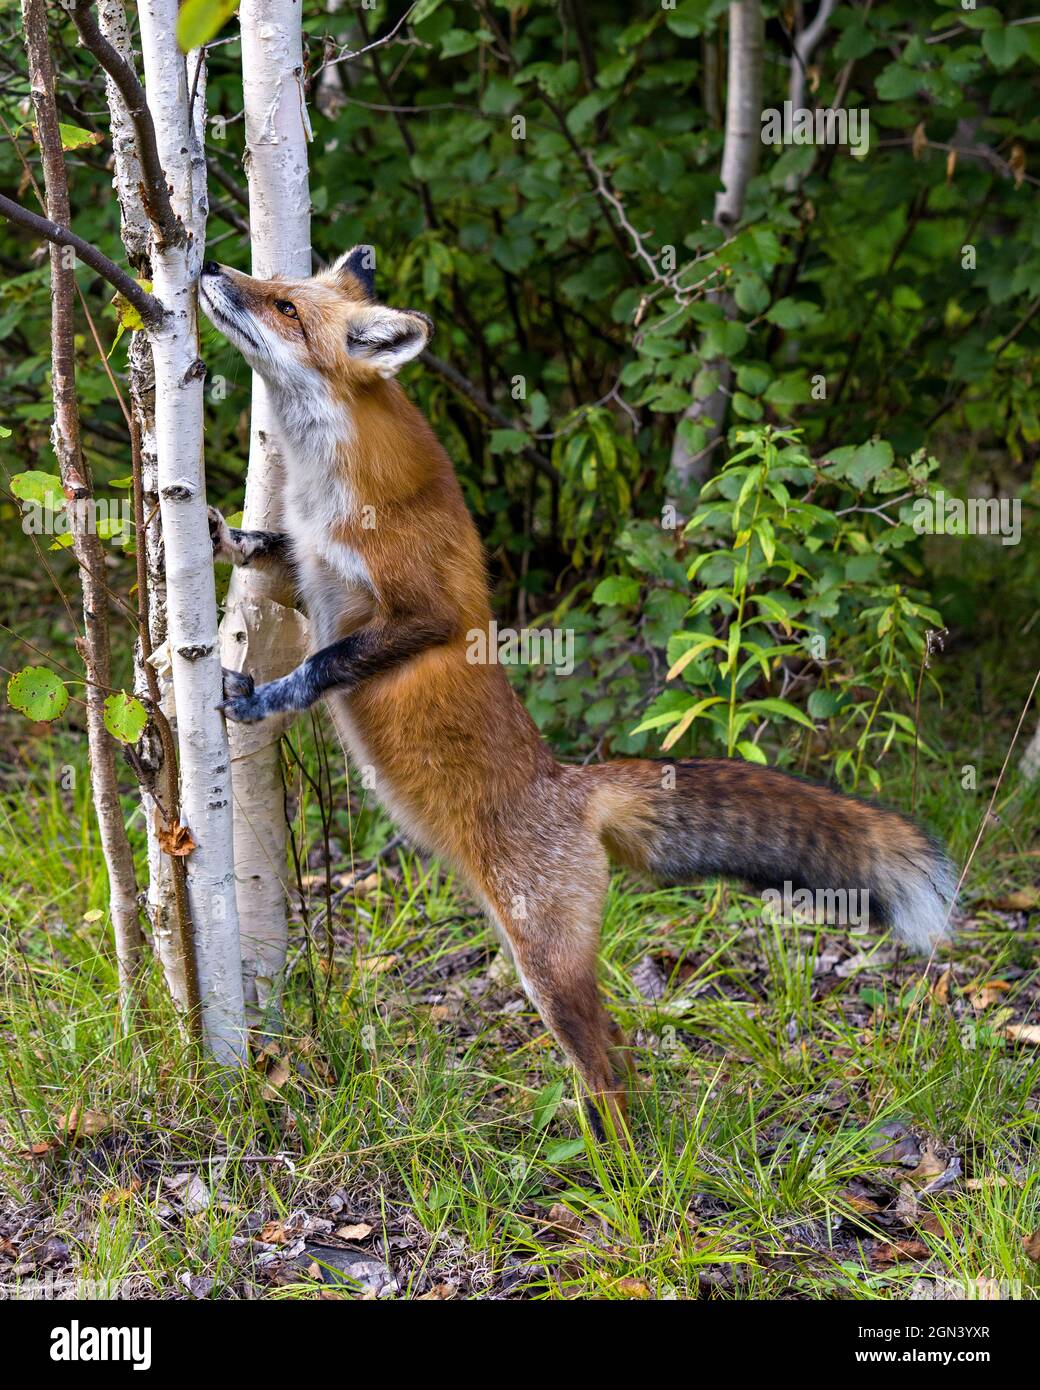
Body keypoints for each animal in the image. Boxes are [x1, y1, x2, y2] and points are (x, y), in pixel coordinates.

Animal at [199, 247, 957, 1134]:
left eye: (285, 305)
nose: (210, 265)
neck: (331, 486)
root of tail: (572, 782)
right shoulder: (312, 567)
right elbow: (269, 548)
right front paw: (218, 532)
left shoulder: (426, 615)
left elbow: (324, 666)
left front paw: (261, 695)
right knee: (622, 1051)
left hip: (544, 964)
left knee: (610, 1068)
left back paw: (615, 1159)